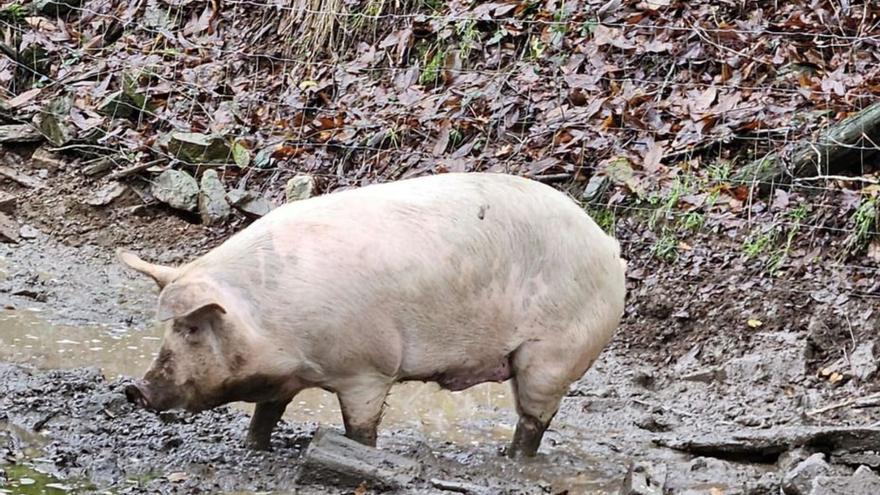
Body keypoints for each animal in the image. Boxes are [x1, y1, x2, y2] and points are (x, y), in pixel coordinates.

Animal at [119, 172, 626, 457]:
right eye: (172, 328)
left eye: (191, 327)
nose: (134, 388)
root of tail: (609, 248)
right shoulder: (284, 379)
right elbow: (266, 414)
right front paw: (253, 447)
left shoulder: (368, 370)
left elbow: (359, 430)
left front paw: (357, 454)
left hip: (552, 355)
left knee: (534, 422)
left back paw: (510, 459)